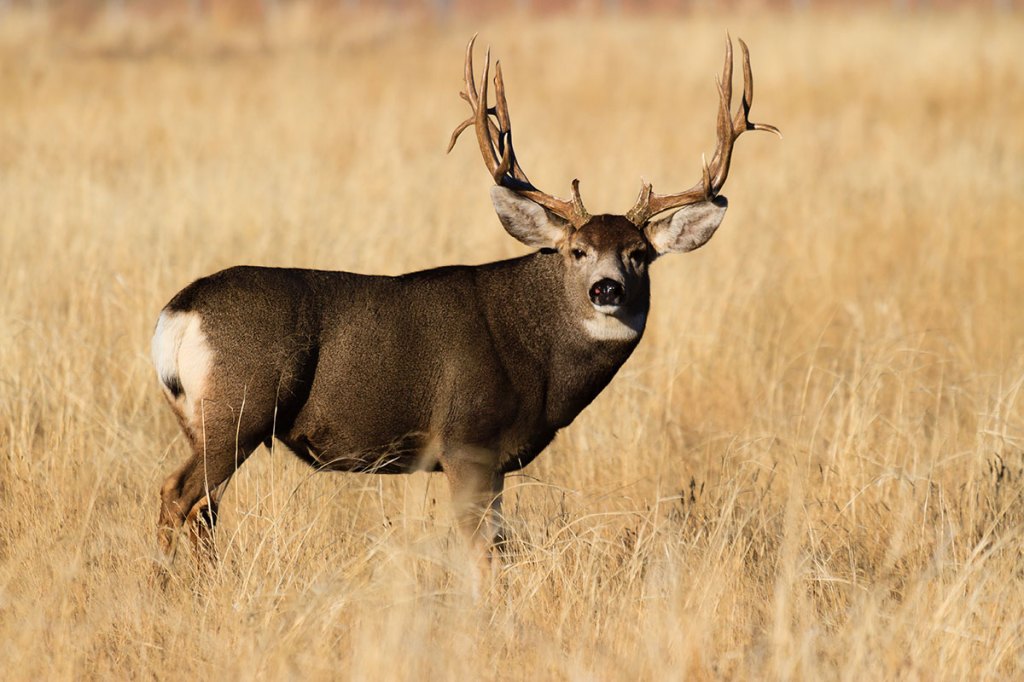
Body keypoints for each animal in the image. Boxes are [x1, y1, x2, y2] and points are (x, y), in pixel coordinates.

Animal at [150, 35, 778, 574]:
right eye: (575, 251)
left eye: (639, 254)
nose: (607, 289)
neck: (539, 357)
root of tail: (178, 313)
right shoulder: (467, 441)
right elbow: (483, 553)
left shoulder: (492, 459)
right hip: (240, 407)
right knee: (177, 495)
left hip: (200, 418)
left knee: (204, 510)